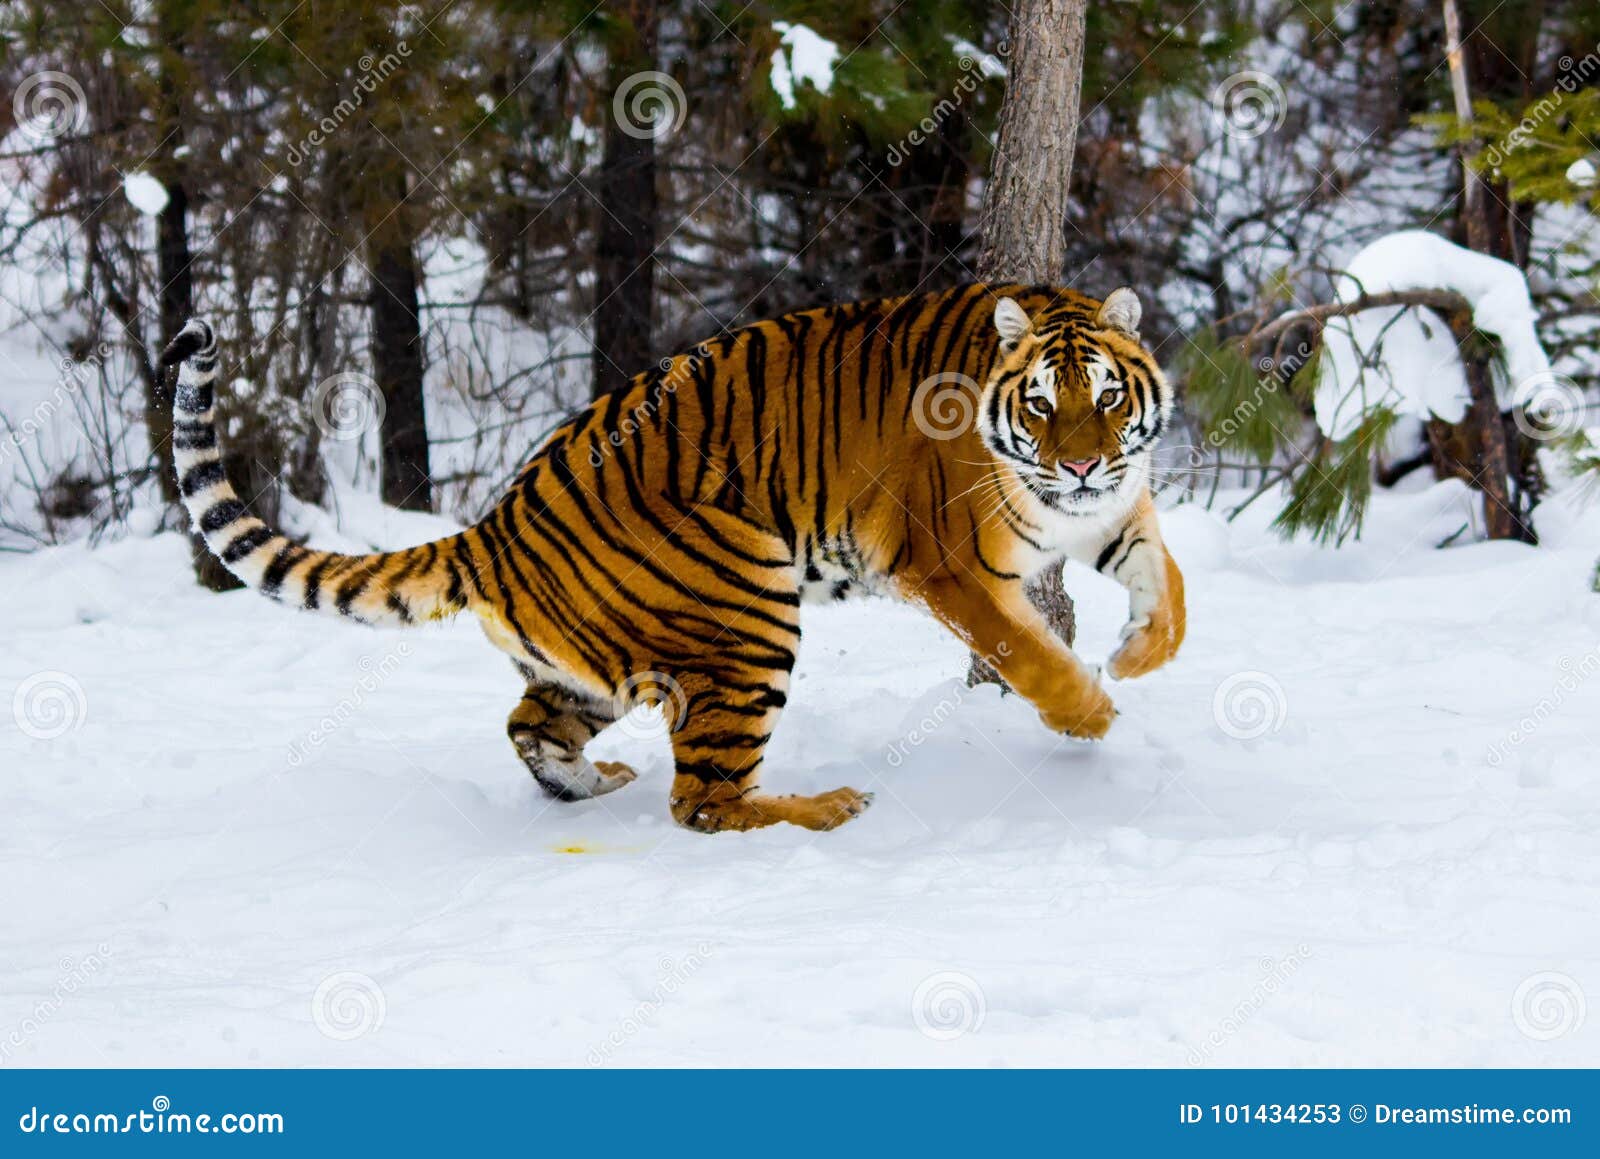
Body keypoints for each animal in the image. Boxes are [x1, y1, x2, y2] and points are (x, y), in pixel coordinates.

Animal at [160, 281, 1185, 835]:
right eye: (1042, 404)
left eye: (1105, 396)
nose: (1080, 463)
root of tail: (496, 522)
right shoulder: (950, 565)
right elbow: (1028, 652)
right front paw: (1092, 710)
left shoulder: (1116, 508)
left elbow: (1166, 583)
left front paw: (1141, 651)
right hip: (747, 607)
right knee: (703, 801)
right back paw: (828, 806)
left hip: (599, 658)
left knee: (528, 723)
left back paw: (589, 783)